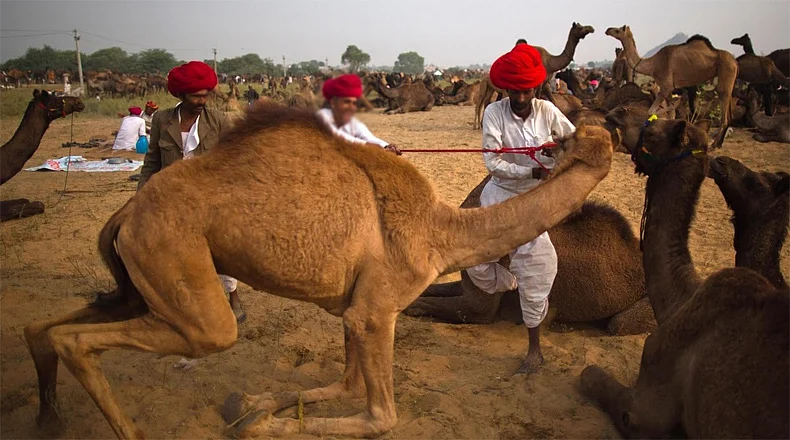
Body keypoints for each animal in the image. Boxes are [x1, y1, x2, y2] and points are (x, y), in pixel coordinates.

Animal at [23, 105, 615, 439]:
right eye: (575, 135)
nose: (555, 146)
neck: (439, 232)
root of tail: (126, 212)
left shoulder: (354, 305)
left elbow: (344, 381)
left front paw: (250, 404)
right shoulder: (377, 310)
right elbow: (381, 417)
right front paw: (260, 421)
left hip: (141, 275)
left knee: (48, 328)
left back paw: (49, 415)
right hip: (174, 259)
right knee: (107, 338)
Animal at [605, 26, 738, 148]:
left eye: (618, 30)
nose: (607, 30)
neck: (653, 64)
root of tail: (735, 62)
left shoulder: (666, 86)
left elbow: (651, 111)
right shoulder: (669, 90)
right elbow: (670, 112)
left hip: (726, 73)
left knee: (724, 113)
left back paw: (714, 145)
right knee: (730, 114)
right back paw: (719, 143)